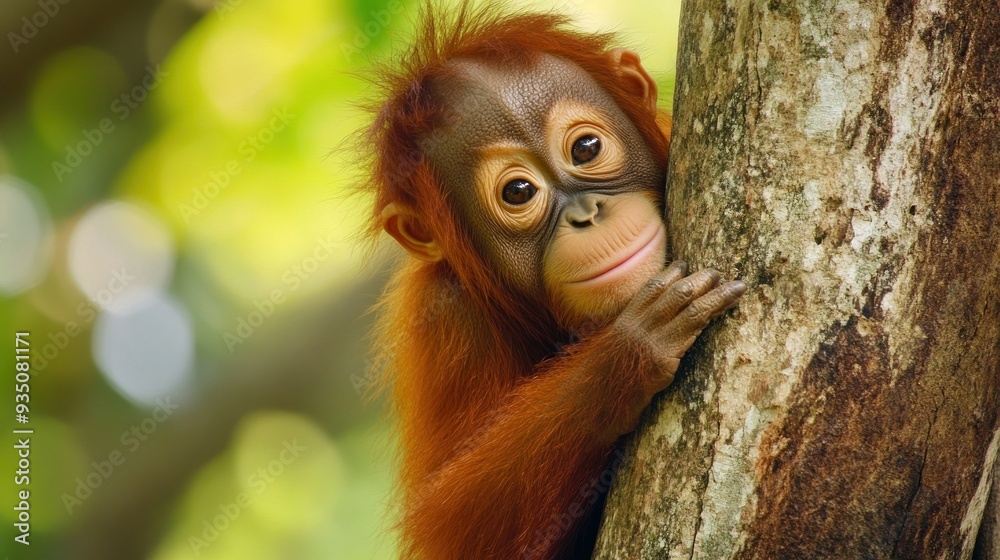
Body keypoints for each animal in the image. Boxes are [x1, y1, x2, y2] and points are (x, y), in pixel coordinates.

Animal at [362, 4, 745, 558]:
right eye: (519, 192)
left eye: (586, 148)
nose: (587, 215)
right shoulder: (446, 315)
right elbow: (448, 526)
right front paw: (623, 357)